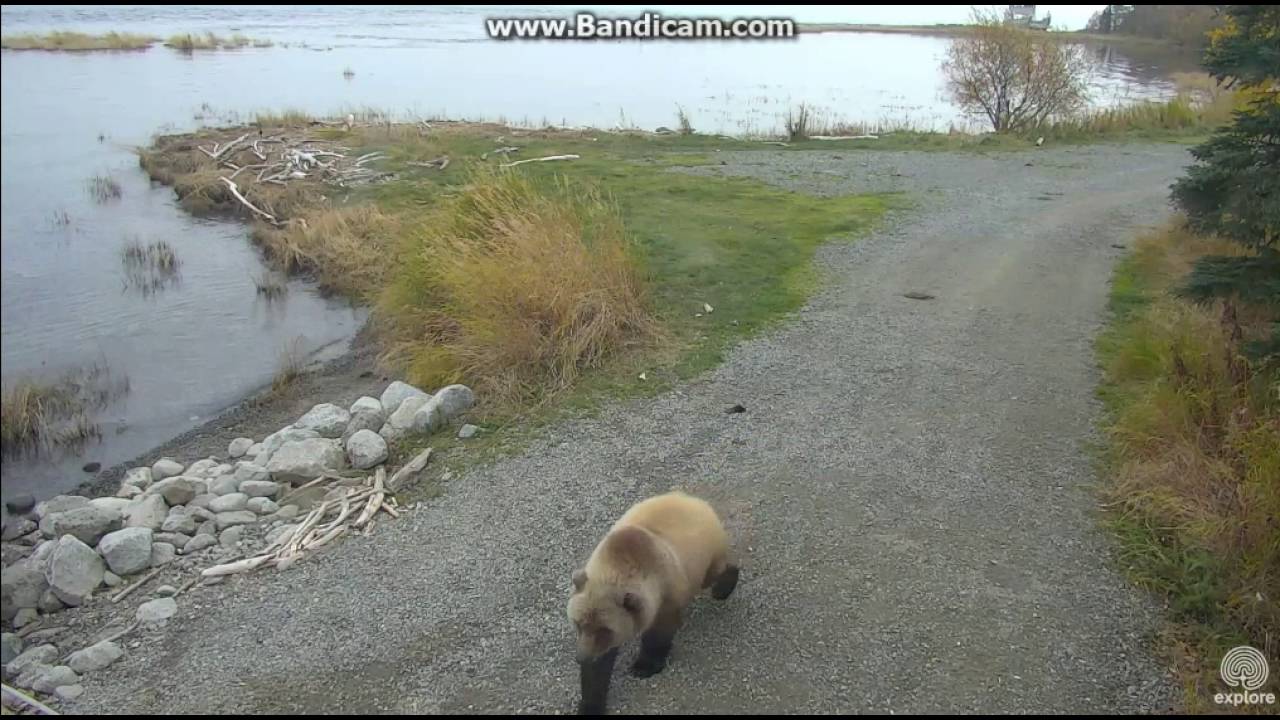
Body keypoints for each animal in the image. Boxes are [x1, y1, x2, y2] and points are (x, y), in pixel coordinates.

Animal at [567, 490, 740, 715]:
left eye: (605, 630)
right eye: (578, 623)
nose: (582, 657)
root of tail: (690, 498)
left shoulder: (665, 592)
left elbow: (659, 634)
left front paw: (644, 666)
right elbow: (599, 669)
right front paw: (590, 703)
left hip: (706, 554)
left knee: (714, 573)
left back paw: (723, 587)